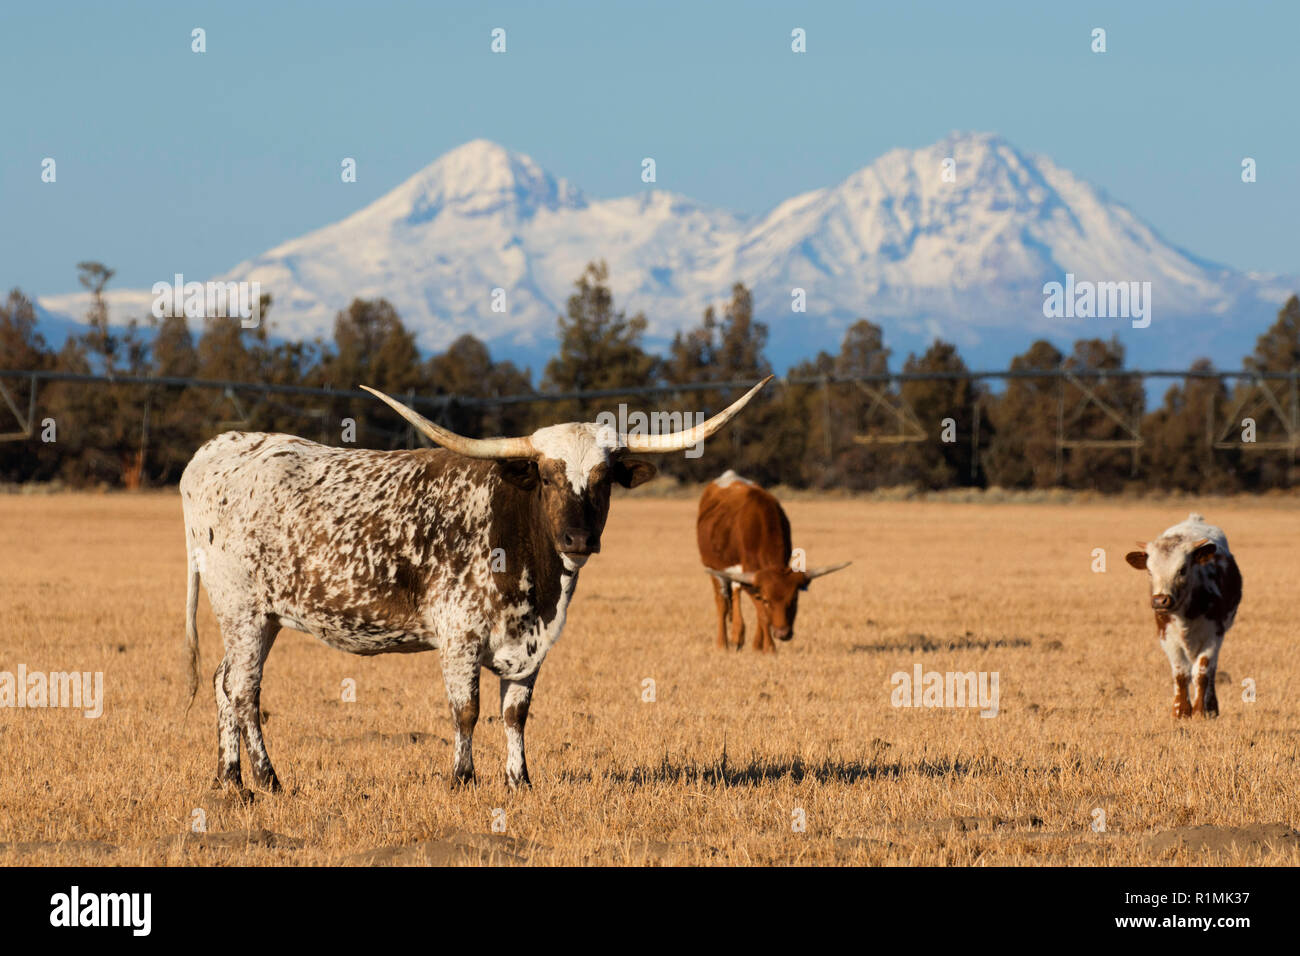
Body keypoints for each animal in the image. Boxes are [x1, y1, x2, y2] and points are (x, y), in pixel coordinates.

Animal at [180, 377, 771, 795]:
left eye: (604, 480)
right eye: (548, 476)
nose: (579, 537)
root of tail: (216, 449)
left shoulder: (532, 644)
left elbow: (515, 713)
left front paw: (519, 780)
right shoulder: (459, 636)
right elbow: (466, 709)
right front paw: (462, 780)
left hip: (263, 617)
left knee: (222, 682)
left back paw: (228, 778)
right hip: (243, 611)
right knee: (244, 690)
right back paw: (266, 780)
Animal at [697, 470, 849, 652]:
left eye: (794, 599)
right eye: (767, 600)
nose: (783, 634)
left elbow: (759, 613)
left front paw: (757, 645)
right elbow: (762, 613)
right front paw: (769, 648)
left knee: (735, 592)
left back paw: (737, 636)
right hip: (714, 568)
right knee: (722, 604)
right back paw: (722, 644)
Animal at [1125, 513, 1242, 718]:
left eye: (1182, 569)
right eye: (1149, 571)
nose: (1160, 600)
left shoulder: (1213, 635)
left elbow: (1202, 673)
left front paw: (1200, 711)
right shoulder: (1166, 635)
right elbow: (1180, 674)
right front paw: (1180, 711)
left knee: (1211, 672)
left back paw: (1212, 706)